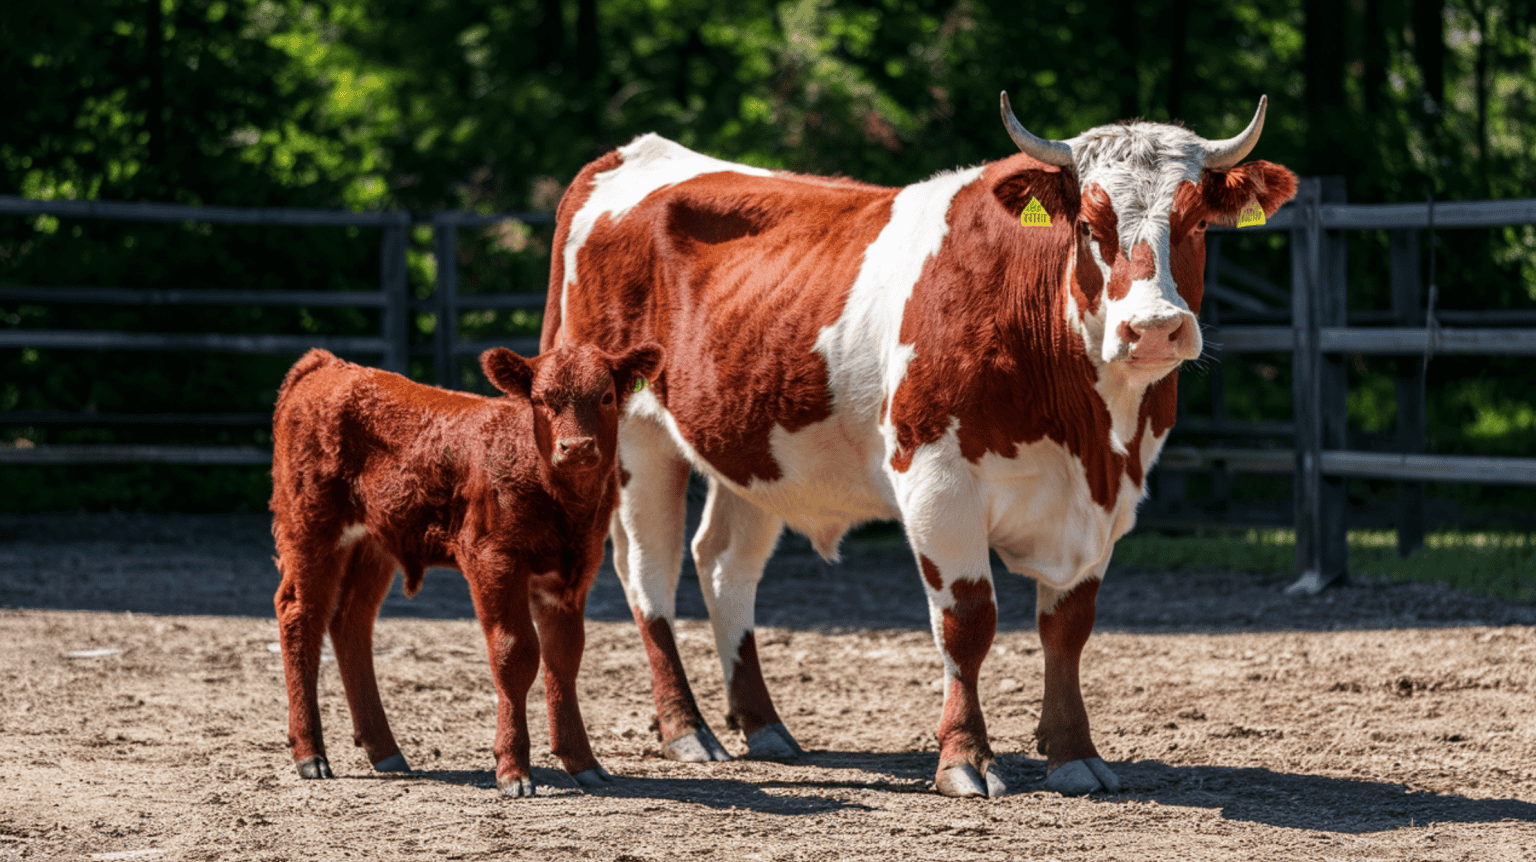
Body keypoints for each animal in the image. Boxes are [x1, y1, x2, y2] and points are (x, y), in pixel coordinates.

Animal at [269, 341, 662, 797]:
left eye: (606, 397)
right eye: (541, 400)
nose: (576, 447)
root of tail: (328, 365)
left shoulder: (575, 572)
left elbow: (564, 656)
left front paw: (583, 762)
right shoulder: (494, 560)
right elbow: (515, 654)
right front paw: (513, 769)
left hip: (373, 544)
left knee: (350, 622)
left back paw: (385, 750)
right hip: (310, 528)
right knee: (301, 615)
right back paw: (309, 753)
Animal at [541, 91, 1297, 797]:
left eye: (1197, 223)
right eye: (1089, 224)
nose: (1155, 328)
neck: (1087, 431)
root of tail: (634, 156)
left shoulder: (1111, 496)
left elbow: (1068, 628)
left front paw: (1075, 755)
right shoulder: (937, 480)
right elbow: (968, 620)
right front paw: (966, 760)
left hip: (753, 446)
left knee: (725, 566)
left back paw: (764, 726)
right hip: (636, 443)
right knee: (650, 575)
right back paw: (687, 730)